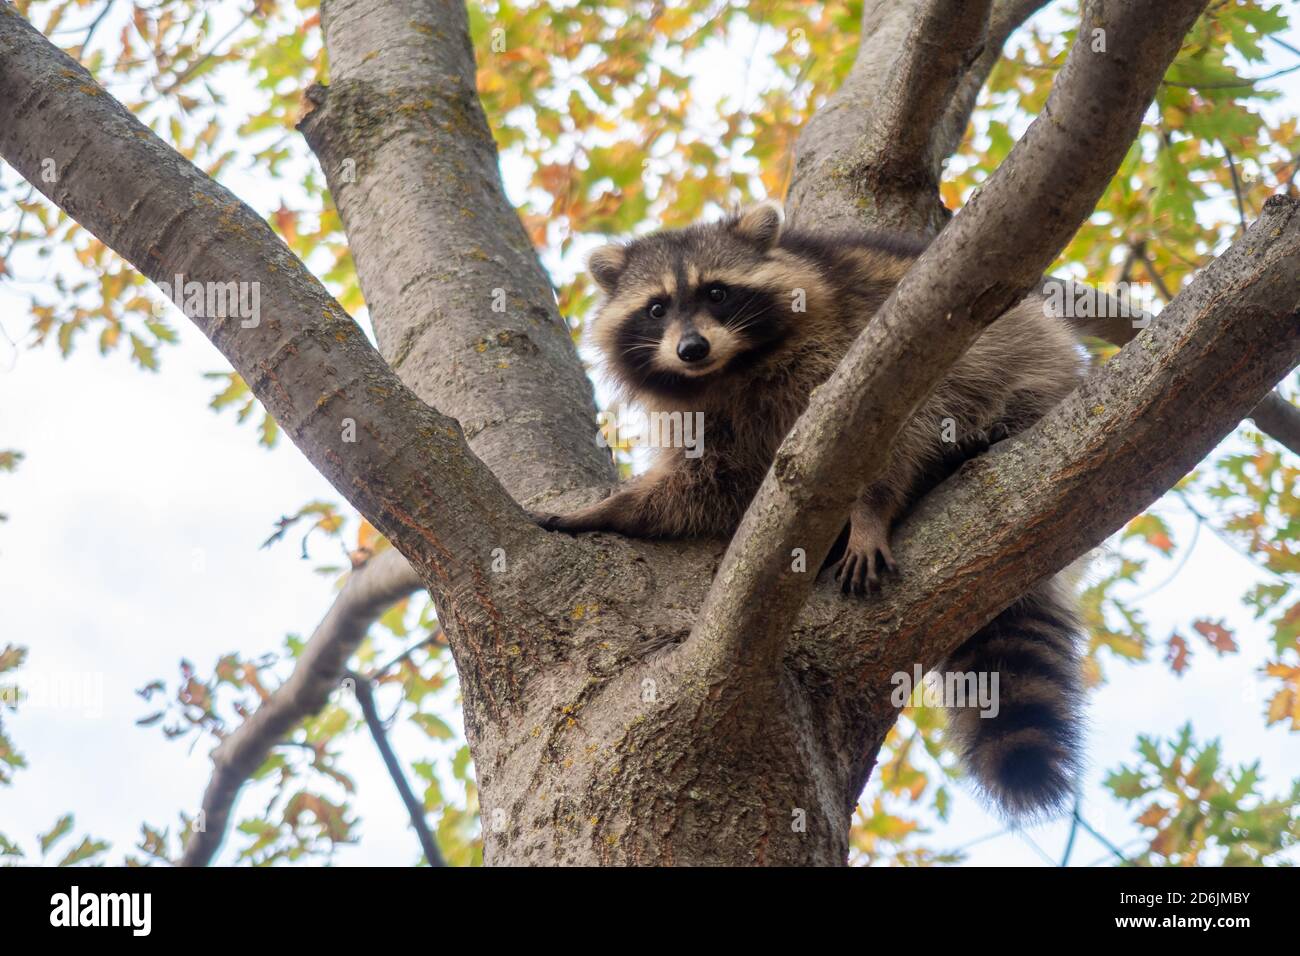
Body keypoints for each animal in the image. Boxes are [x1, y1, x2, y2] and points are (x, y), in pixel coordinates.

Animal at [535, 201, 1088, 819]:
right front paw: (617, 507)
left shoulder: (857, 348)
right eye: (656, 308)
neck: (730, 369)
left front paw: (871, 511)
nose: (691, 349)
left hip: (1033, 354)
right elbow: (706, 485)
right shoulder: (708, 418)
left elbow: (900, 433)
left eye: (717, 293)